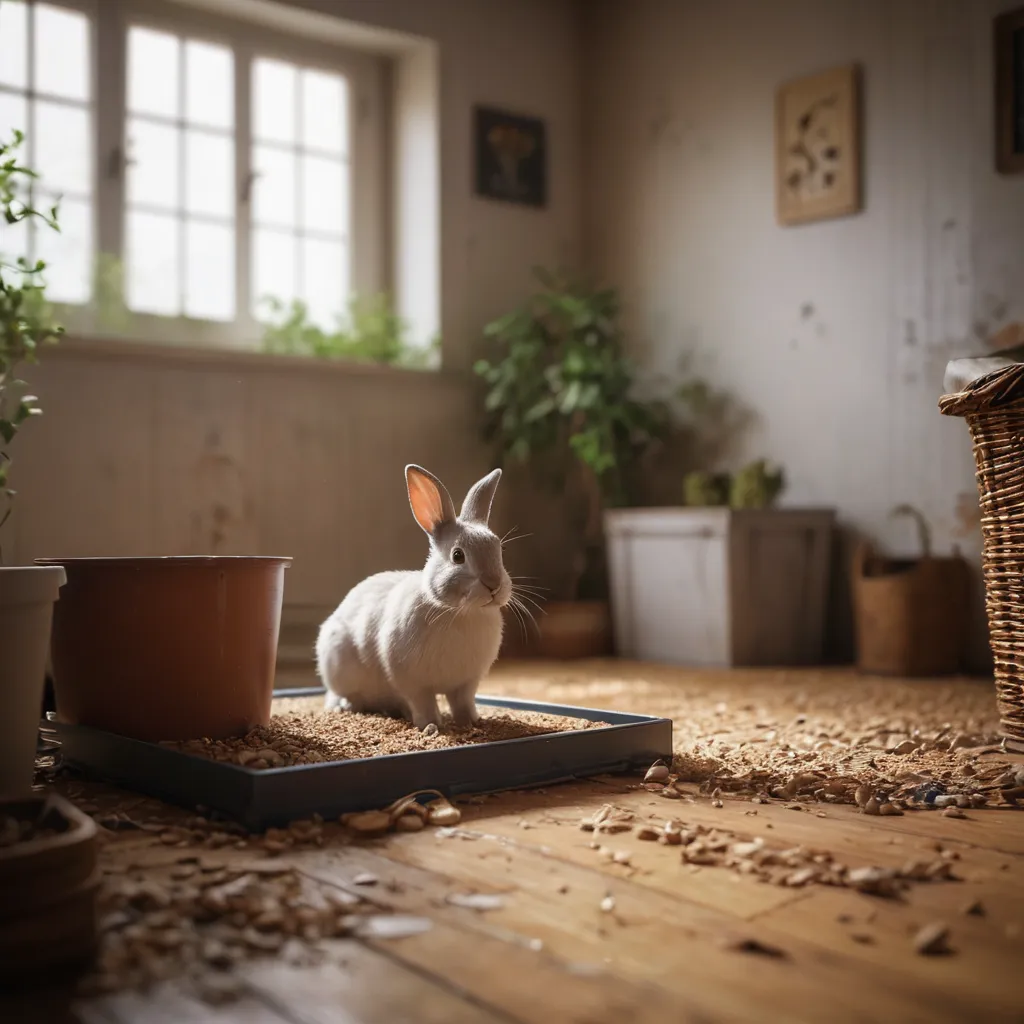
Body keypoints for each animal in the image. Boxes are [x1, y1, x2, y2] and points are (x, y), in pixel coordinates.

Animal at [315, 464, 514, 731]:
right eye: (458, 556)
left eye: (499, 549)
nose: (494, 585)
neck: (458, 611)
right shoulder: (413, 682)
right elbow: (424, 702)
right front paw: (431, 724)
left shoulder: (466, 683)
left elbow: (463, 702)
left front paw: (471, 722)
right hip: (337, 662)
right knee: (341, 694)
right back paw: (344, 707)